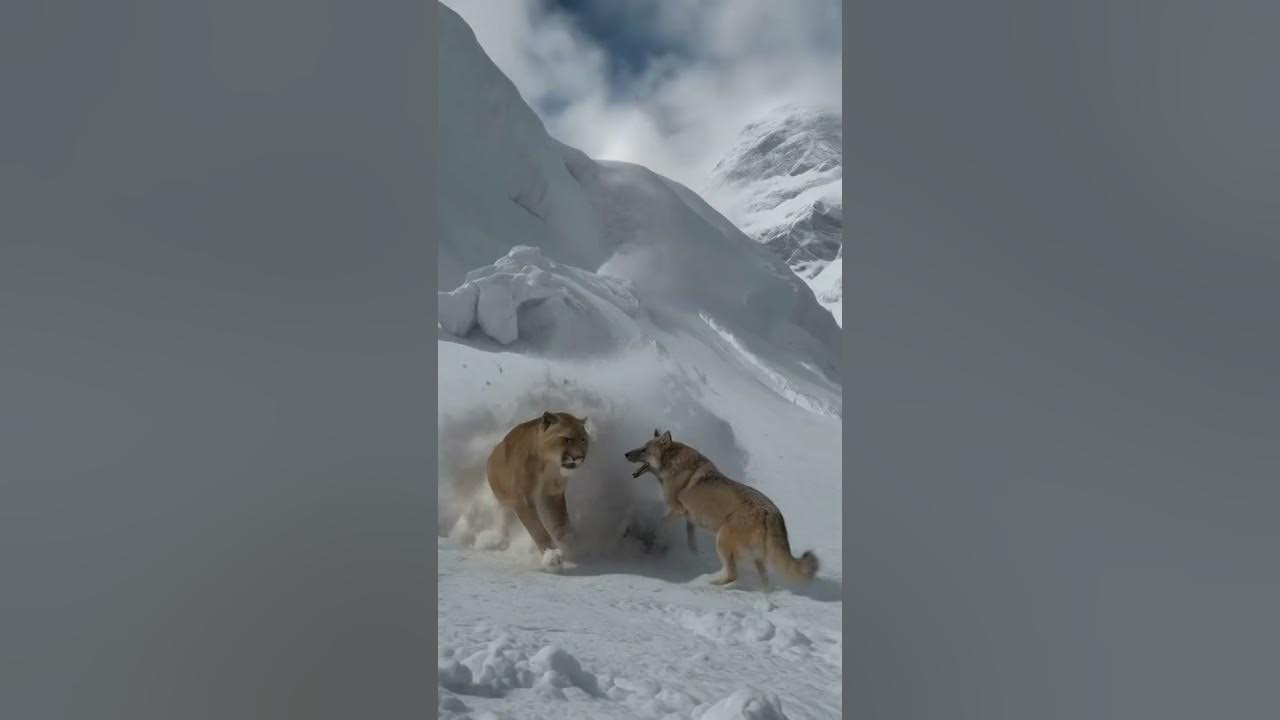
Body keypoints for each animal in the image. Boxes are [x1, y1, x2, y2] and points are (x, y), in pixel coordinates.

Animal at [624, 429, 818, 588]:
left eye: (644, 449)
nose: (625, 454)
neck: (675, 465)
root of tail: (772, 512)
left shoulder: (678, 511)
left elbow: (663, 523)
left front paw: (656, 539)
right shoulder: (689, 518)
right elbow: (690, 539)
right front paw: (693, 554)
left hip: (722, 541)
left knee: (732, 575)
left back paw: (708, 582)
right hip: (755, 558)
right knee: (764, 582)